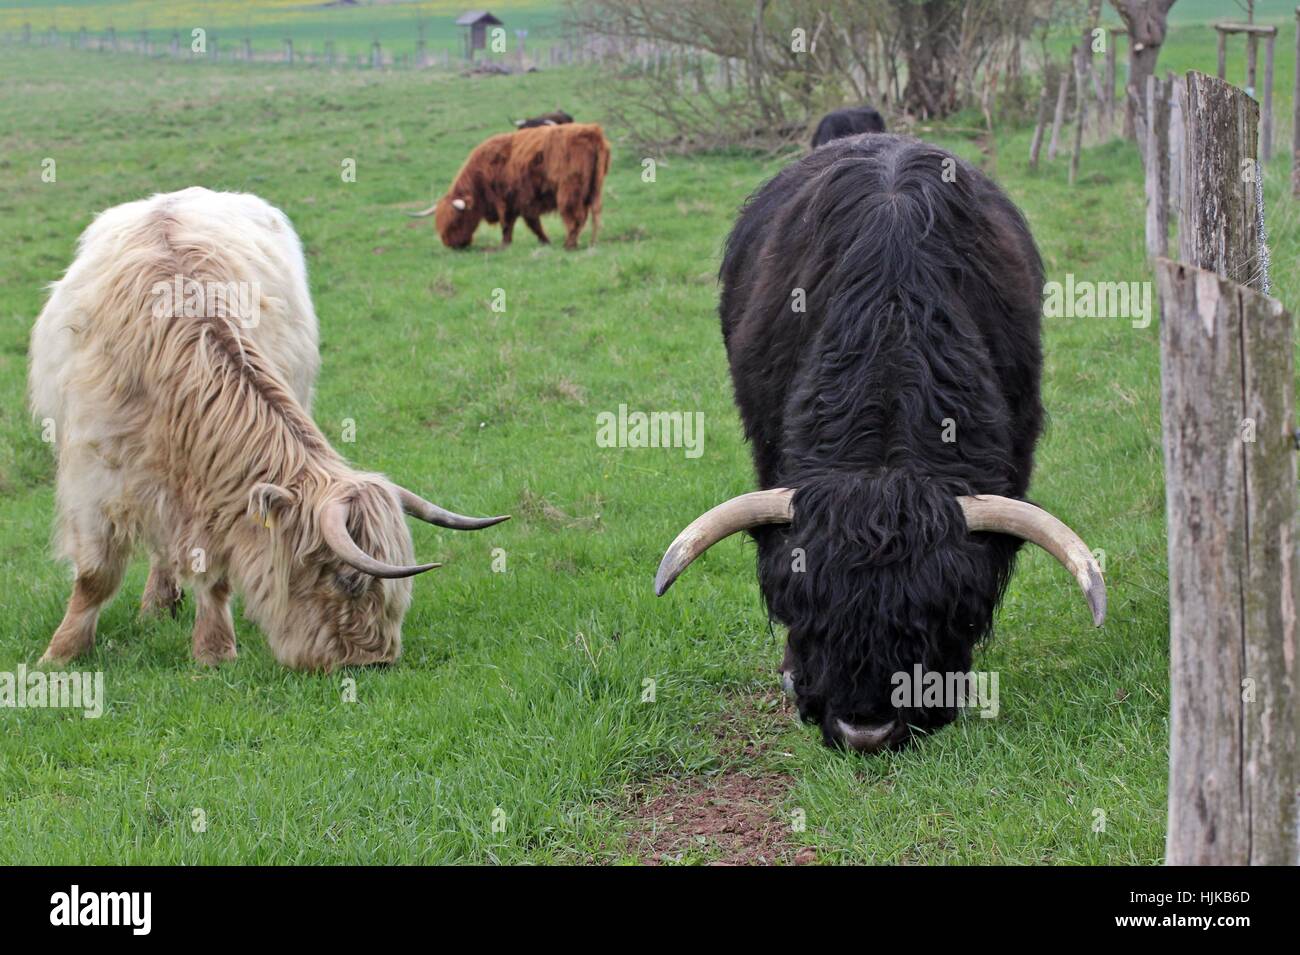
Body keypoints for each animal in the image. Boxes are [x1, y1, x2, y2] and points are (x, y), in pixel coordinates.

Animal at [29, 187, 508, 671]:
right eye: (348, 580)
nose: (372, 661)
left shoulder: (214, 491)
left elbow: (214, 571)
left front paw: (213, 651)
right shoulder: (93, 475)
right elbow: (96, 575)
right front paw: (62, 652)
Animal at [407, 122, 610, 250]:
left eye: (456, 220)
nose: (450, 244)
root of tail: (592, 131)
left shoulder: (508, 201)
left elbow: (510, 224)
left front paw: (505, 245)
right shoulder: (522, 202)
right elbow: (528, 223)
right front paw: (543, 241)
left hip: (569, 192)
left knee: (575, 217)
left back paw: (569, 245)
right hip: (593, 190)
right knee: (591, 215)